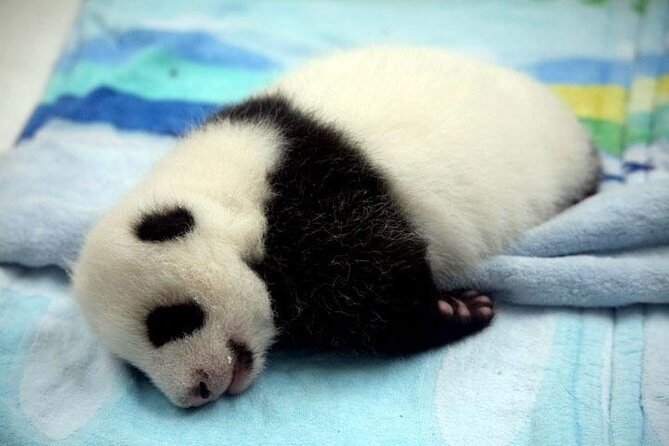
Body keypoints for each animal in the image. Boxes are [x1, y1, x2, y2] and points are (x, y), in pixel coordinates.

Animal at [72, 46, 600, 408]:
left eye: (171, 321)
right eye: (134, 368)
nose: (196, 391)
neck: (223, 190)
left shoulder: (310, 190)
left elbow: (371, 275)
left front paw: (456, 308)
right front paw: (457, 308)